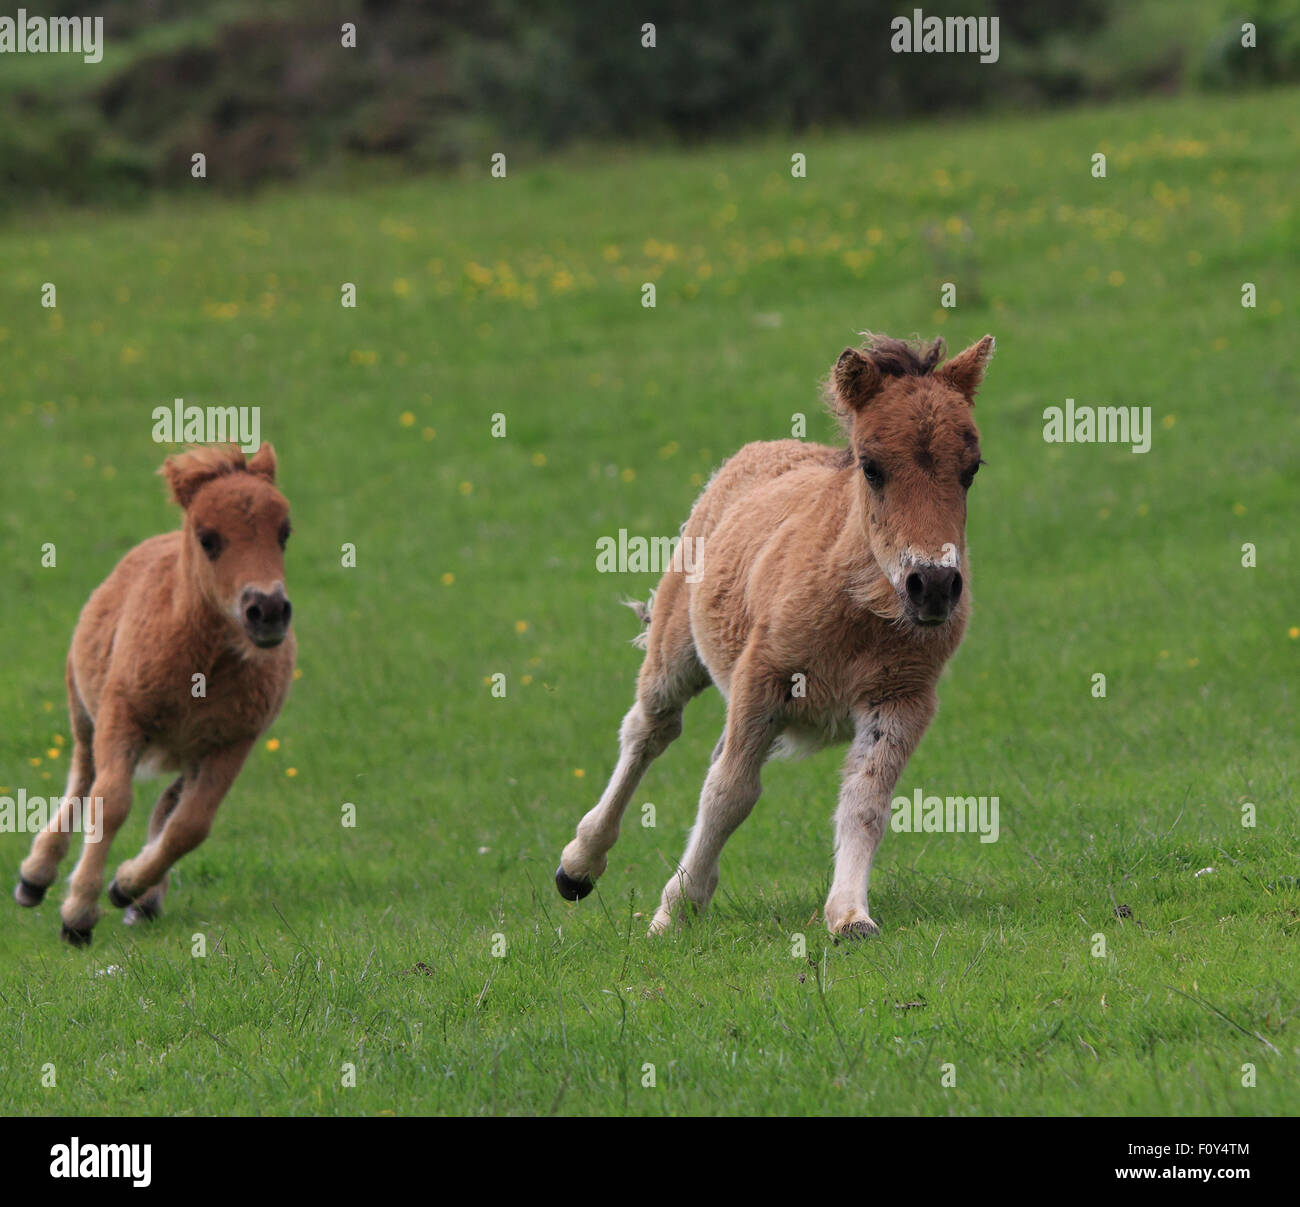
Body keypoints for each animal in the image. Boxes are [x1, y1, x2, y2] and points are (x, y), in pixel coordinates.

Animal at [15, 443, 296, 945]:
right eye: (208, 538)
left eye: (284, 533)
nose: (267, 610)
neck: (203, 665)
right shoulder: (121, 716)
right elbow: (110, 802)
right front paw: (78, 913)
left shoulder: (235, 740)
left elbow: (191, 825)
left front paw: (124, 885)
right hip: (83, 711)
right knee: (82, 780)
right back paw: (35, 876)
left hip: (194, 747)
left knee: (170, 800)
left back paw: (142, 899)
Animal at [556, 332, 995, 937]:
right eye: (871, 467)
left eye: (972, 469)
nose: (932, 585)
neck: (861, 609)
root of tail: (757, 452)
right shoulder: (764, 676)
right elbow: (730, 793)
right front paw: (672, 912)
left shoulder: (902, 699)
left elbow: (866, 801)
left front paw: (849, 915)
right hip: (676, 648)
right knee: (650, 729)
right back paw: (579, 865)